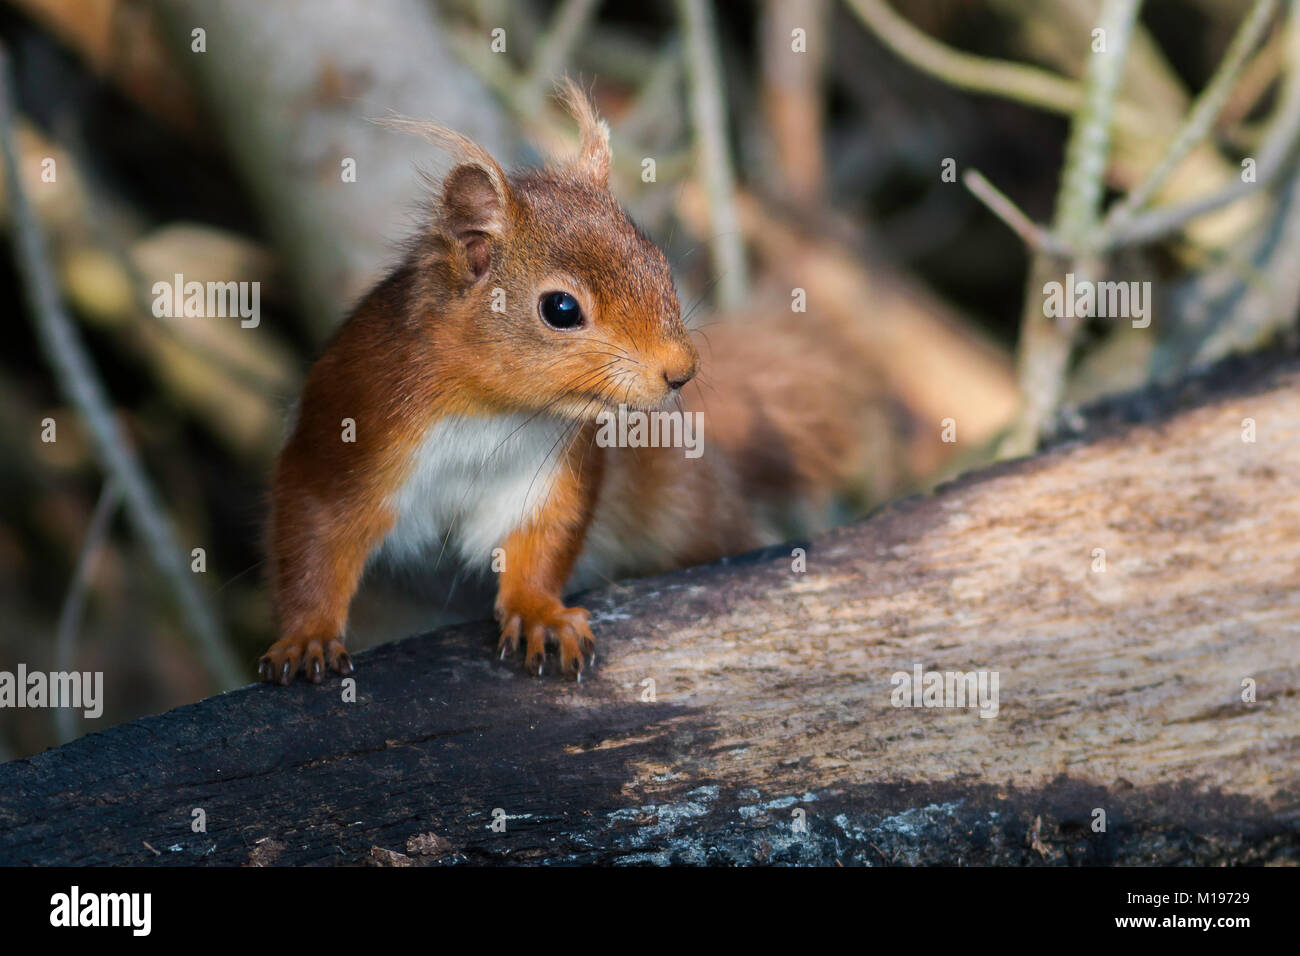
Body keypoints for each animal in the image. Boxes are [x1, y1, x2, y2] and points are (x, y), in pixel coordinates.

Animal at [259, 81, 883, 685]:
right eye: (560, 309)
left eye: (659, 264)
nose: (682, 371)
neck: (492, 412)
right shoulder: (352, 428)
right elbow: (315, 531)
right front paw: (306, 636)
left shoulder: (550, 472)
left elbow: (543, 539)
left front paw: (540, 615)